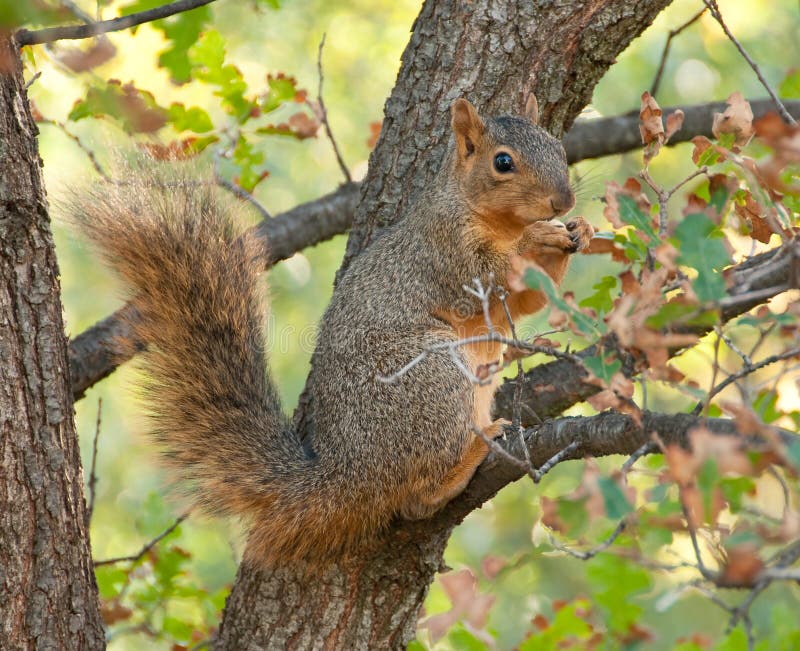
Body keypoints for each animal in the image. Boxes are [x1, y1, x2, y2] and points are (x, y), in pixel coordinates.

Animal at [73, 97, 593, 566]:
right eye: (503, 162)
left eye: (557, 146)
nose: (563, 201)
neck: (492, 219)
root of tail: (348, 475)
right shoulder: (442, 251)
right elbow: (484, 282)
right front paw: (539, 237)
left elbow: (527, 301)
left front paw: (580, 231)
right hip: (429, 377)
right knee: (417, 497)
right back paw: (467, 457)